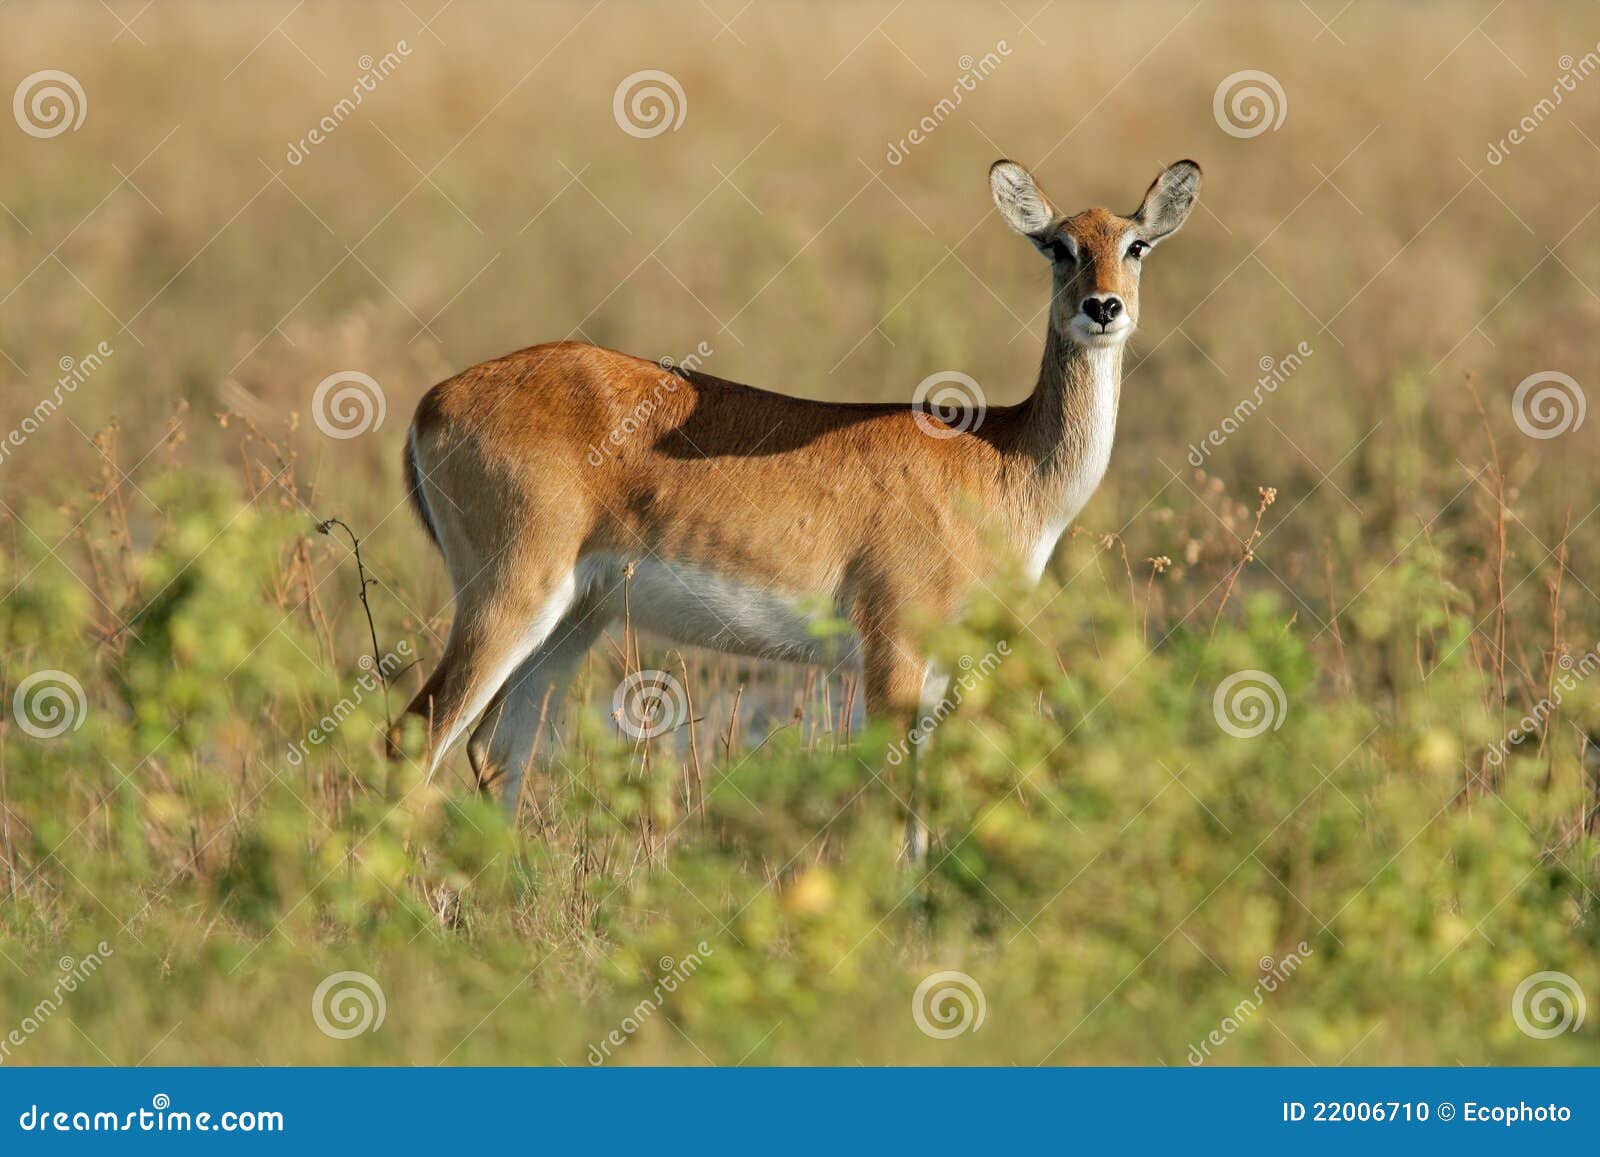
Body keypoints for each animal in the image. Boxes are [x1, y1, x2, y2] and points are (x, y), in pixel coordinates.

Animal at [392, 158, 1202, 844]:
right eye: (1059, 246)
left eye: (1136, 245)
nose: (1103, 307)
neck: (1002, 460)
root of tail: (433, 401)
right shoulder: (892, 648)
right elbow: (893, 807)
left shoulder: (940, 668)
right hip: (509, 596)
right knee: (415, 736)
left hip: (573, 620)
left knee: (497, 748)